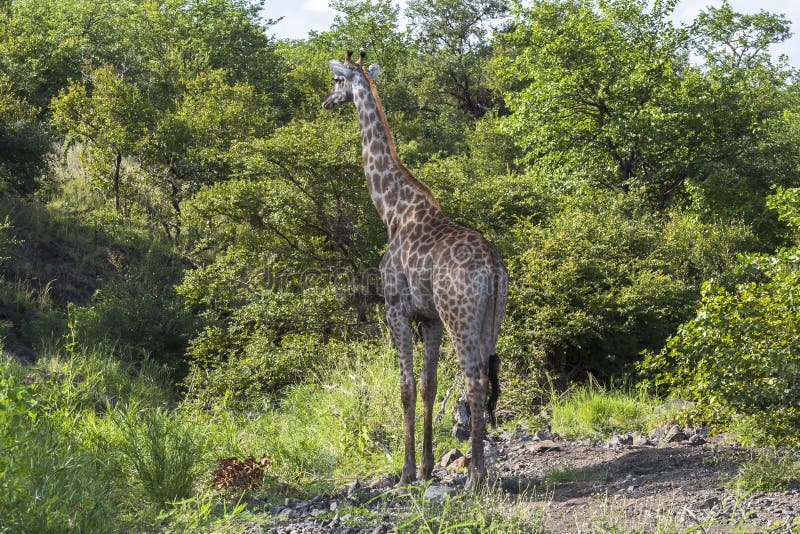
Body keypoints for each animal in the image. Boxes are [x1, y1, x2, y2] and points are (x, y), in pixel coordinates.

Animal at [323, 51, 508, 488]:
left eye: (336, 81)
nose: (326, 101)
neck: (392, 211)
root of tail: (493, 267)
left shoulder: (396, 309)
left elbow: (406, 386)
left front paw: (406, 471)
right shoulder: (430, 319)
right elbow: (428, 385)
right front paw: (425, 466)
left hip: (461, 318)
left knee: (474, 382)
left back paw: (474, 478)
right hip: (491, 319)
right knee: (486, 379)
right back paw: (482, 471)